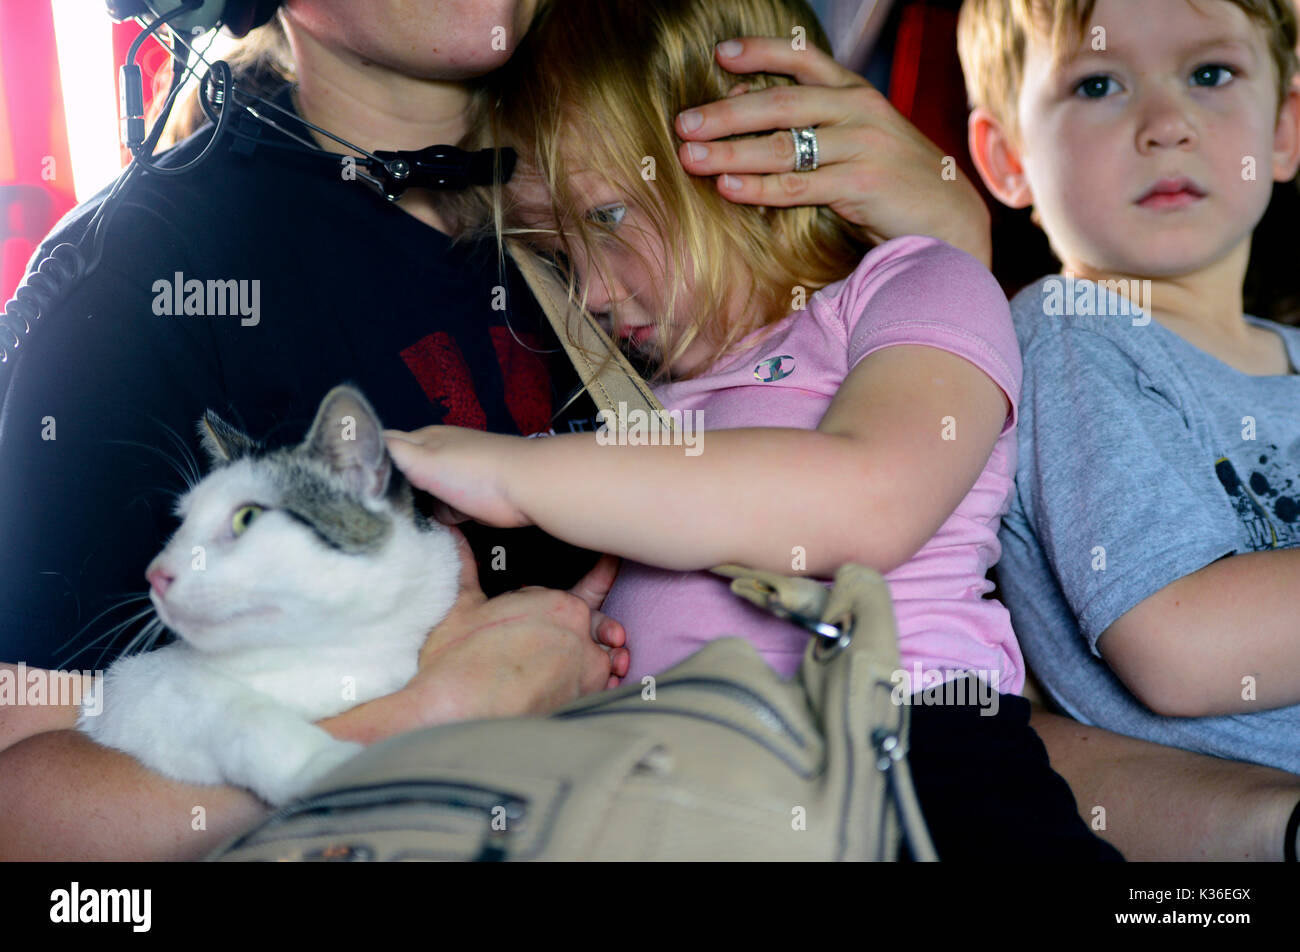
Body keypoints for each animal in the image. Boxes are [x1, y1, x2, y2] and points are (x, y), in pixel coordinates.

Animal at [76, 382, 462, 806]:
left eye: (247, 517)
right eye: (182, 524)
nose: (155, 574)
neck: (311, 653)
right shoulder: (129, 686)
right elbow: (237, 710)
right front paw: (324, 764)